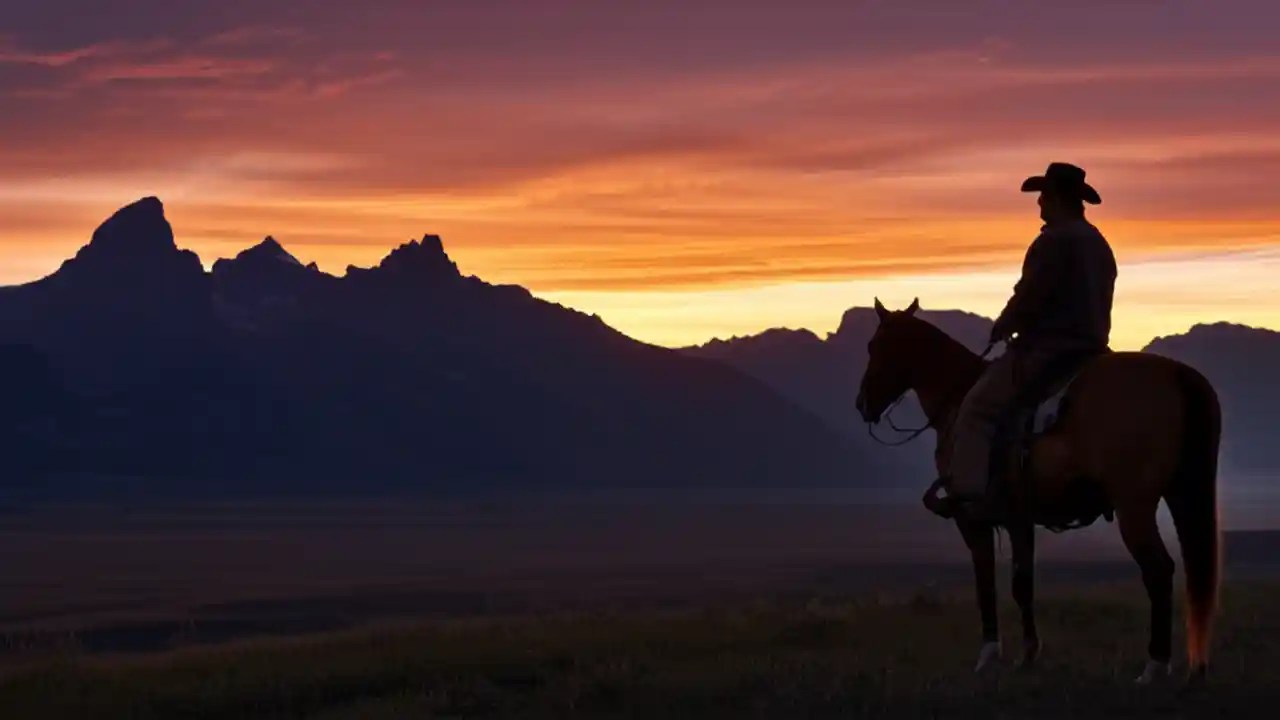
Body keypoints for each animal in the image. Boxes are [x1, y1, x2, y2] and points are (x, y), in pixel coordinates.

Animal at [853, 299, 1221, 684]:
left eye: (873, 346)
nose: (862, 403)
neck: (958, 398)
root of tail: (1180, 376)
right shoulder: (1019, 519)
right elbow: (1022, 583)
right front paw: (1029, 654)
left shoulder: (973, 521)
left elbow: (986, 581)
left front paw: (989, 655)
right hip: (1182, 495)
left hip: (1134, 507)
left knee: (1159, 571)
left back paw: (1154, 666)